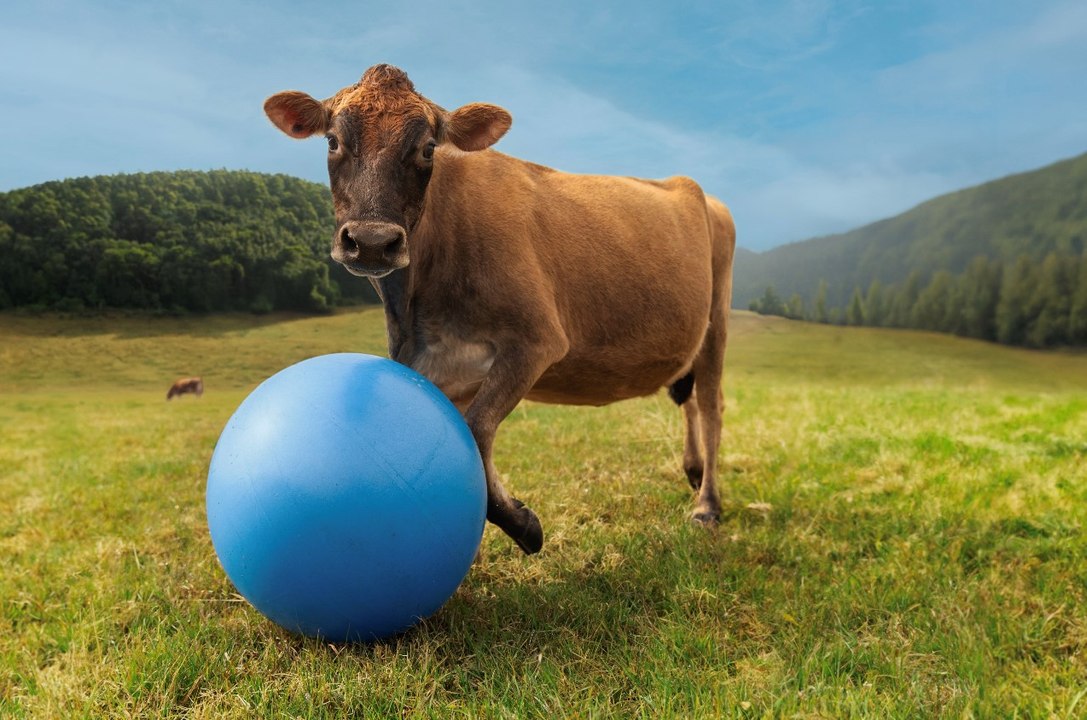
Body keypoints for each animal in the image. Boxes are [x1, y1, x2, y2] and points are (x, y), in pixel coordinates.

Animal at [264, 65, 735, 555]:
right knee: (690, 397)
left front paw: (523, 525)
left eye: (428, 147)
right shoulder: (434, 365)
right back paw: (693, 471)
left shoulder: (537, 339)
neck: (415, 310)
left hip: (717, 321)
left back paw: (707, 505)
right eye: (332, 140)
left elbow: (475, 429)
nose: (373, 241)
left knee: (711, 405)